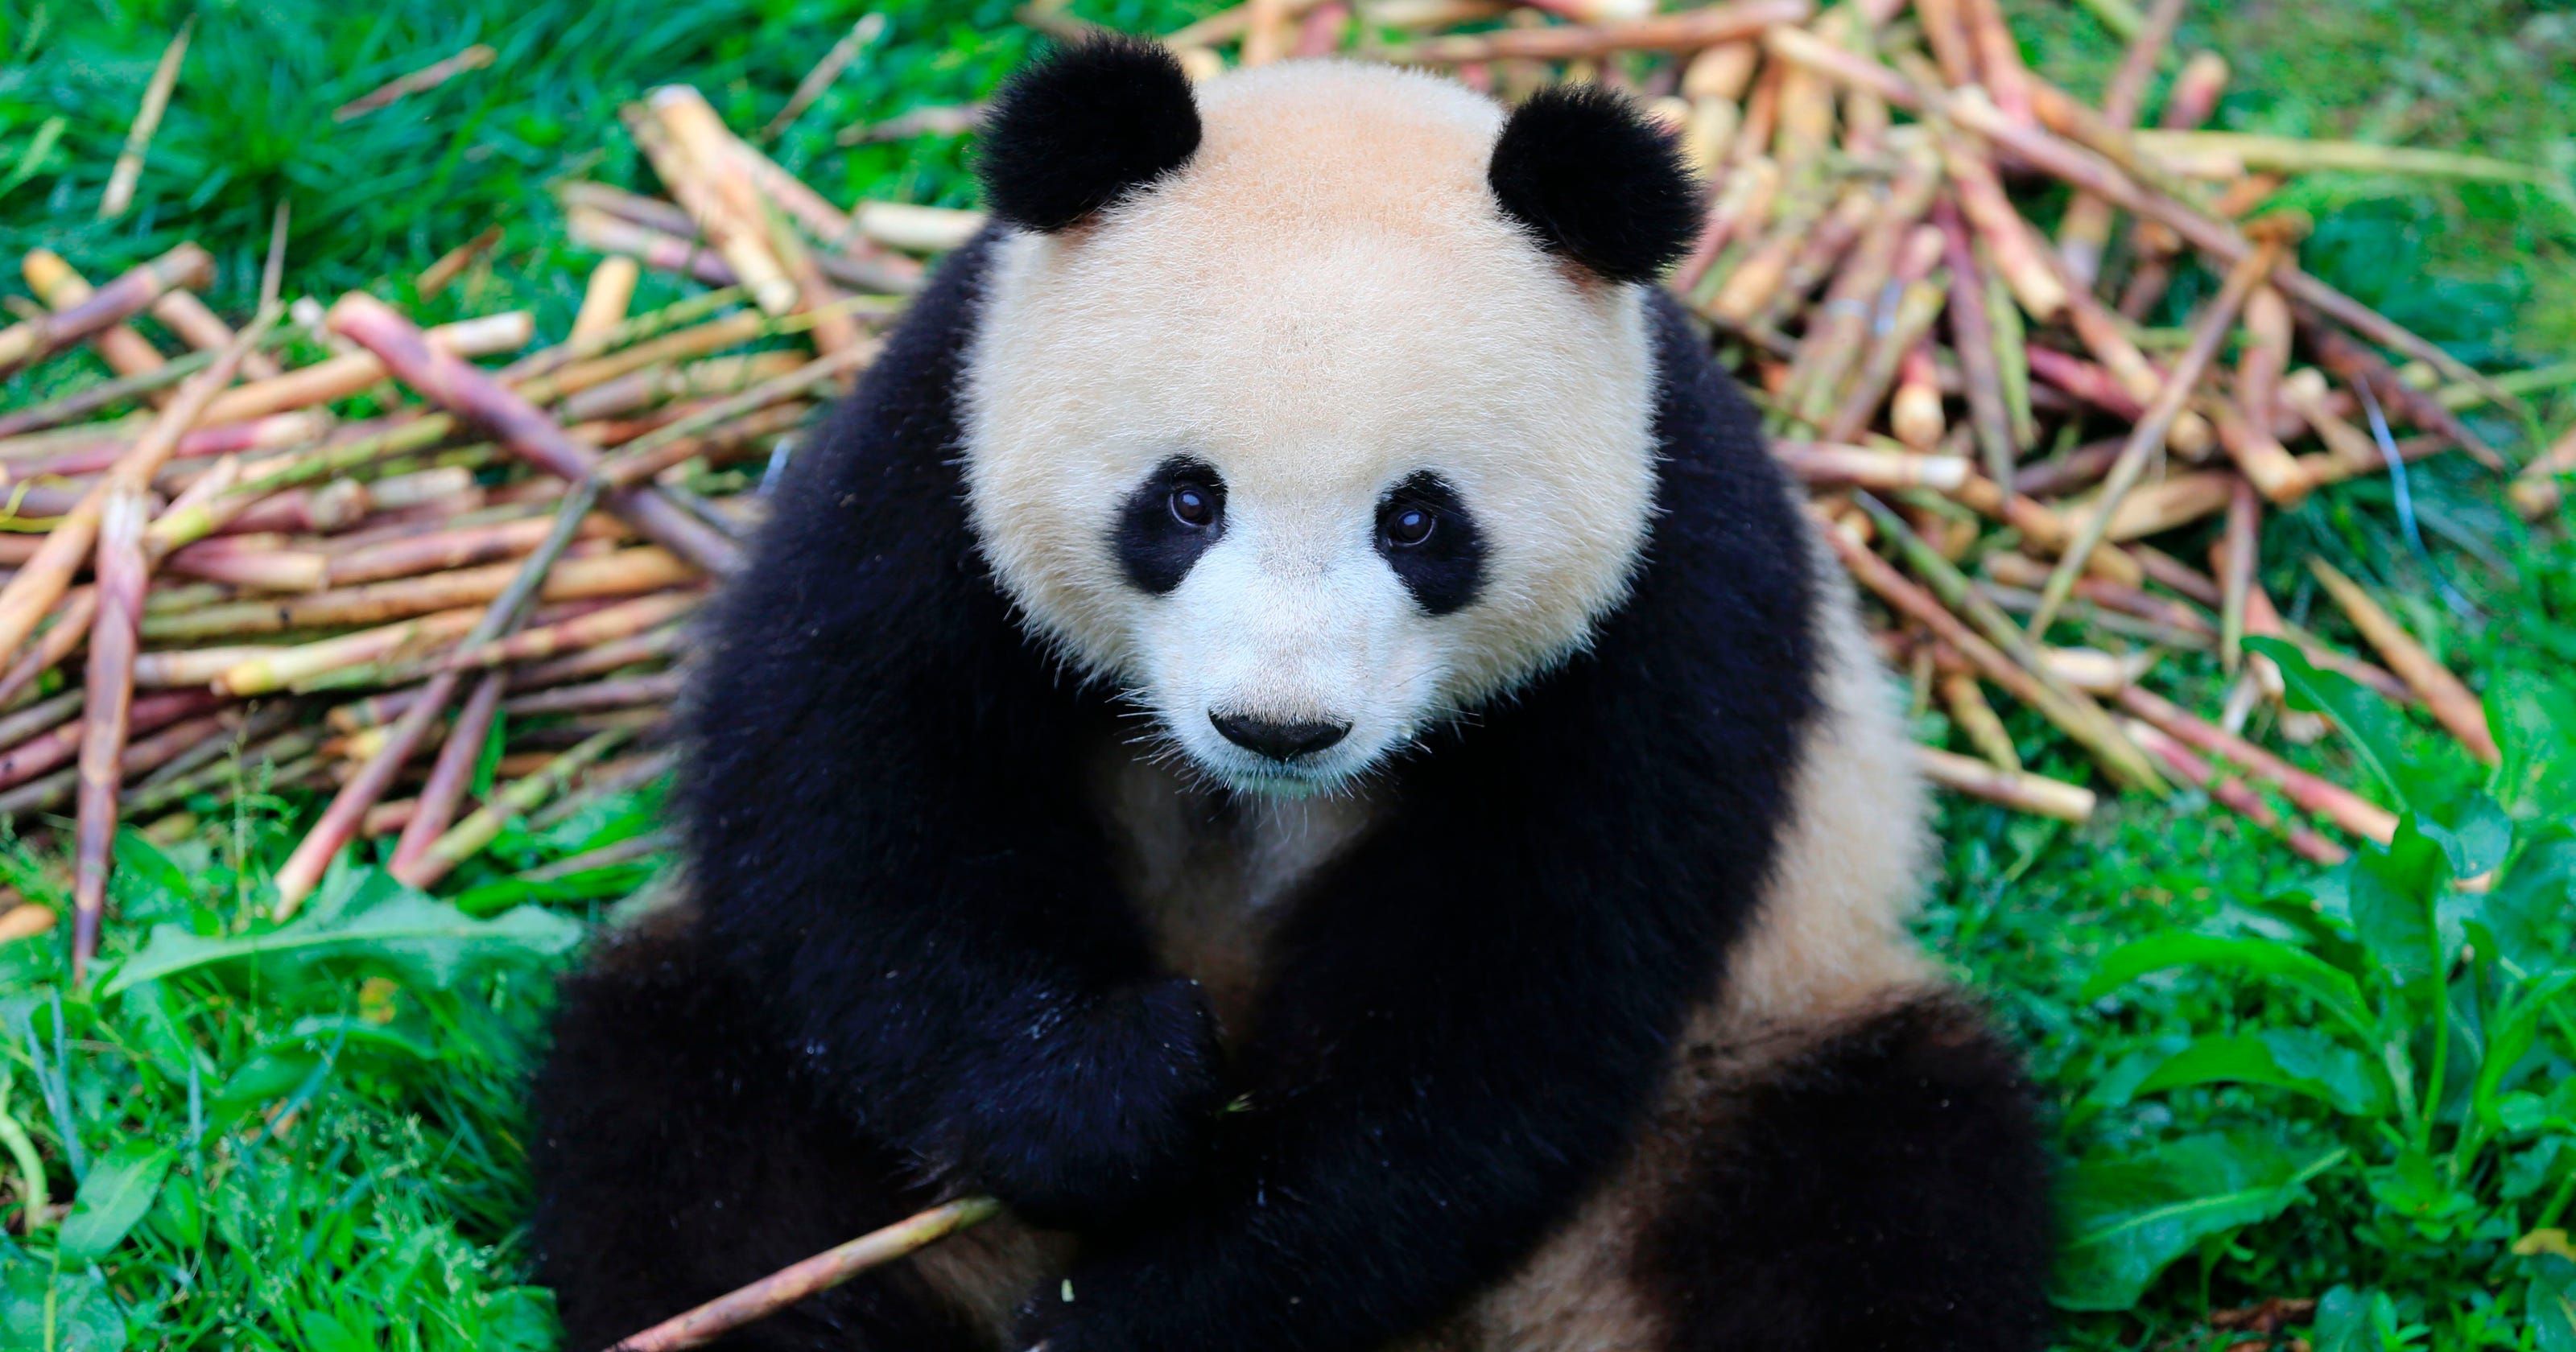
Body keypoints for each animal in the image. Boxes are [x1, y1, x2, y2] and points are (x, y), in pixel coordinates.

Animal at [531, 39, 2054, 1352]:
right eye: (1184, 500)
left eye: (1421, 523)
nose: (1278, 727)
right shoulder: (925, 461)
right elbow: (859, 803)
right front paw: (1103, 1094)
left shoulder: (1676, 597)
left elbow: (1501, 1017)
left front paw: (1137, 1324)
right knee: (694, 1127)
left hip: (1749, 1058)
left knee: (1876, 1186)